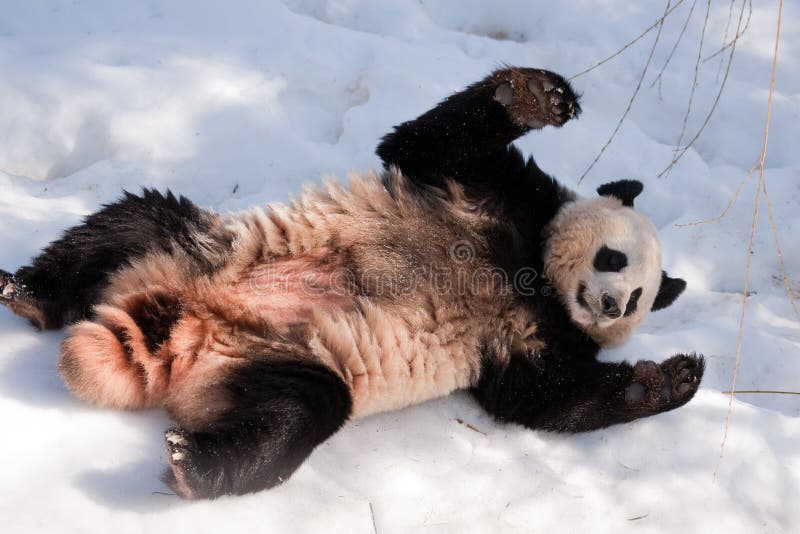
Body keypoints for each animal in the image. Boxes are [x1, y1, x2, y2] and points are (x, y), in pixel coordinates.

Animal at [0, 67, 702, 499]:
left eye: (637, 300)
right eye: (615, 258)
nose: (607, 303)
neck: (537, 277)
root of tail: (182, 323)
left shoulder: (533, 341)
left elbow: (541, 399)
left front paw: (668, 379)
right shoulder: (493, 194)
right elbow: (421, 143)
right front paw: (539, 96)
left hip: (264, 360)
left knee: (300, 408)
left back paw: (194, 465)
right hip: (202, 252)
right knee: (136, 221)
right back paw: (29, 295)